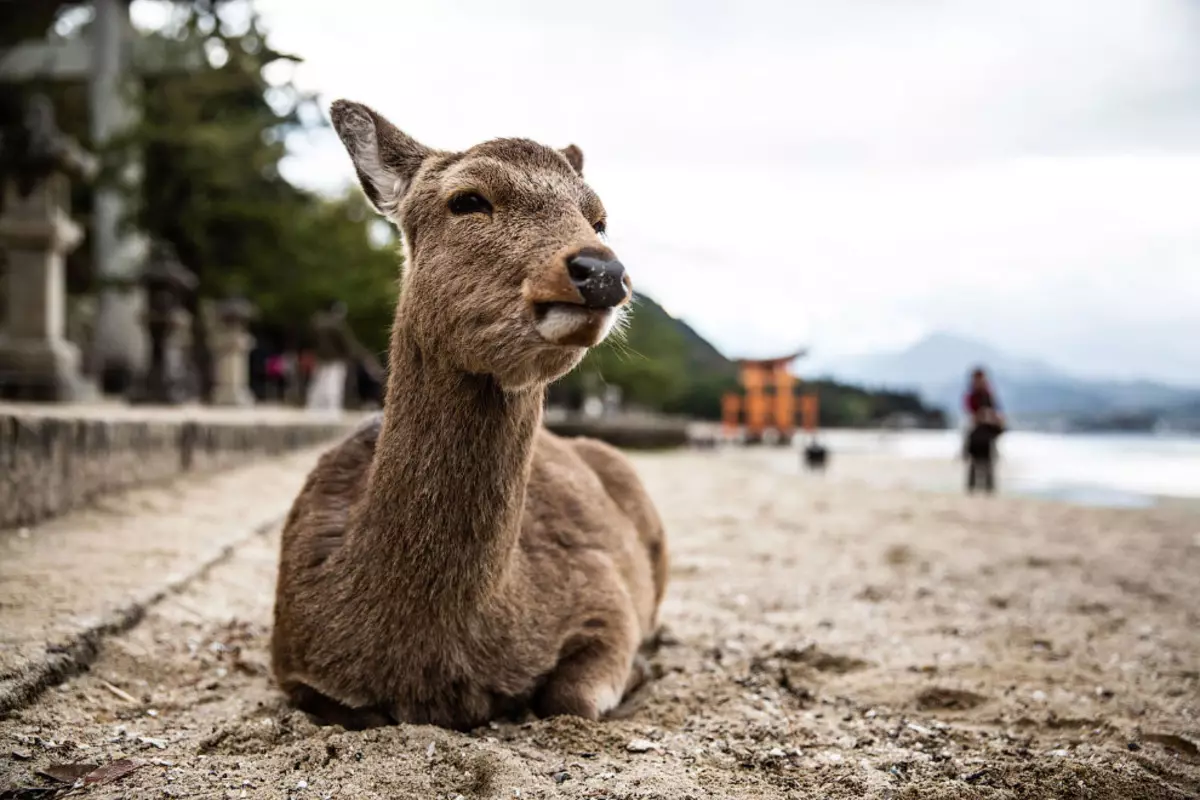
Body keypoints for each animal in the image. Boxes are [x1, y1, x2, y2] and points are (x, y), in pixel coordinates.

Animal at [267, 100, 672, 734]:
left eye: (599, 218)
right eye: (468, 200)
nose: (602, 271)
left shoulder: (605, 590)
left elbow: (572, 697)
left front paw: (639, 671)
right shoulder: (292, 657)